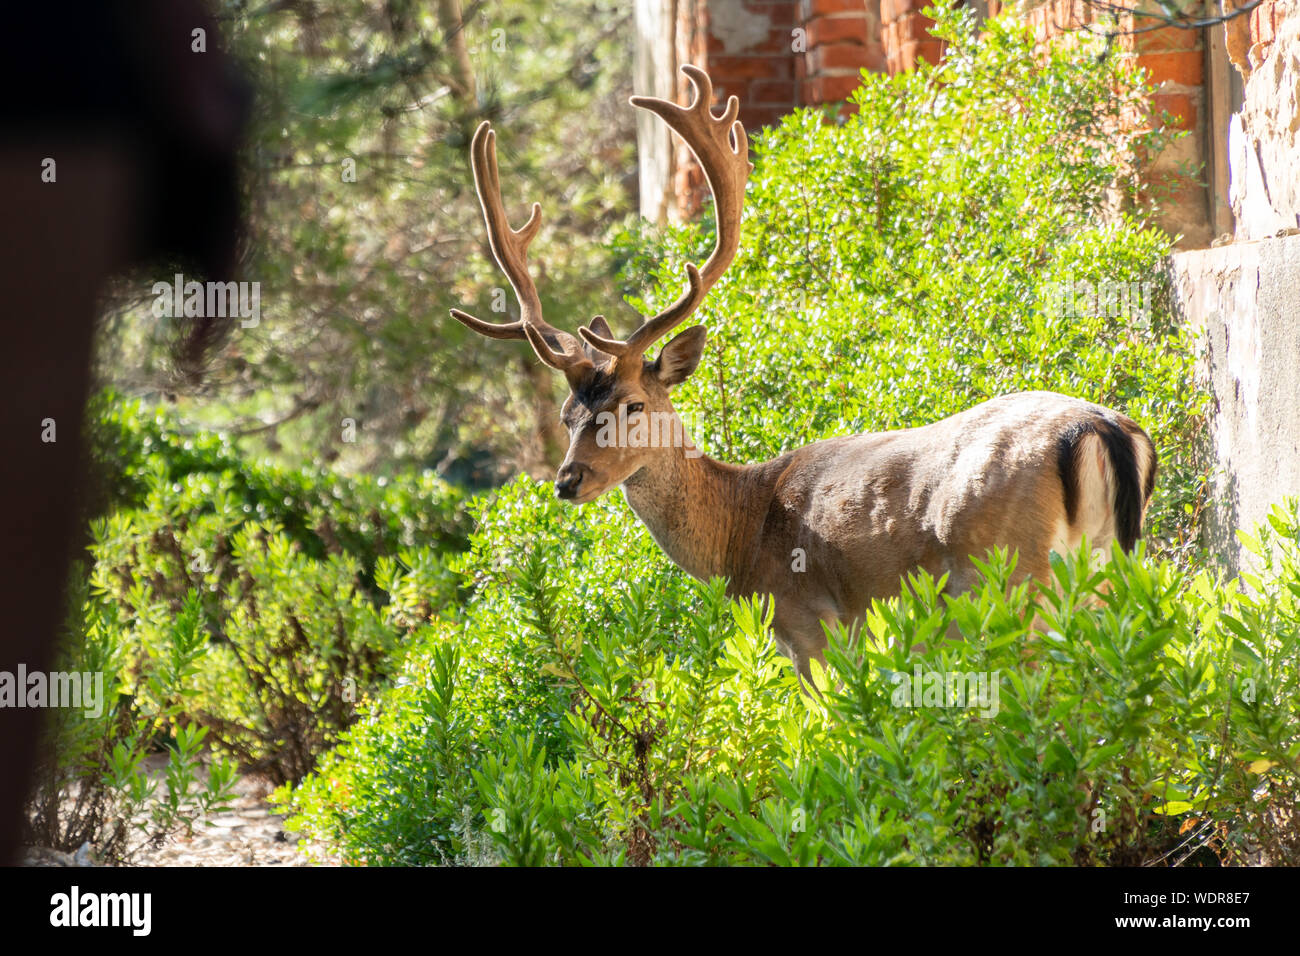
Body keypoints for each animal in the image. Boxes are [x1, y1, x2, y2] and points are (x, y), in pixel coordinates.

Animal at [449, 65, 1158, 679]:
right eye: (569, 414)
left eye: (631, 404)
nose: (567, 481)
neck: (740, 537)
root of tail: (1099, 431)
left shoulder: (806, 623)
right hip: (1110, 565)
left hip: (1010, 575)